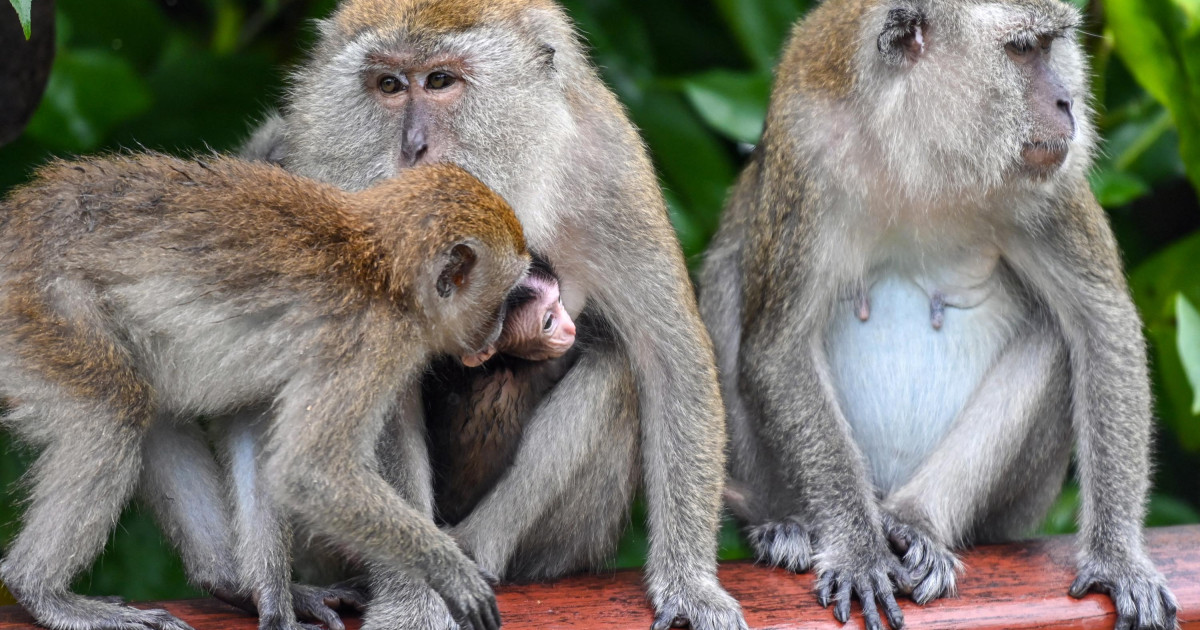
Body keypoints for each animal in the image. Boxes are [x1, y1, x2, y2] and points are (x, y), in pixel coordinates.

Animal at [0, 153, 529, 630]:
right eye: (503, 297)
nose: (495, 334)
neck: (384, 267)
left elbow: (255, 429)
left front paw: (274, 598)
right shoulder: (370, 343)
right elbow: (310, 472)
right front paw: (451, 571)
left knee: (148, 407)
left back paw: (227, 582)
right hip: (41, 308)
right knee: (113, 409)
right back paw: (39, 591)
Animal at [698, 1, 1178, 629]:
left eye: (1052, 46)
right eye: (1022, 50)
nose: (1066, 103)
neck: (921, 147)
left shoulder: (1052, 177)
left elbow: (1102, 325)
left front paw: (1118, 557)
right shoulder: (808, 157)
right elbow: (779, 346)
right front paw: (858, 550)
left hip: (1016, 509)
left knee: (1057, 335)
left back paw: (913, 522)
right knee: (727, 277)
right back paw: (782, 522)